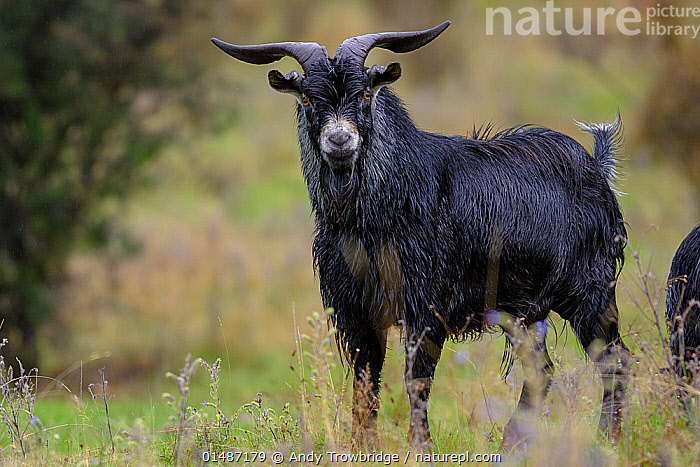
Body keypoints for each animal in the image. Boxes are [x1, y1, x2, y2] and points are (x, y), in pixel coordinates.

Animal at [212, 21, 630, 449]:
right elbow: (365, 384)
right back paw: (512, 444)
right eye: (309, 100)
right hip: (524, 310)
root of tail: (598, 166)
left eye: (365, 93)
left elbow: (417, 381)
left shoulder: (425, 305)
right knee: (541, 370)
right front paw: (364, 447)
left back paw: (606, 440)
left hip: (589, 289)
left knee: (614, 360)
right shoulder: (357, 312)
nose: (340, 140)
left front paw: (421, 446)